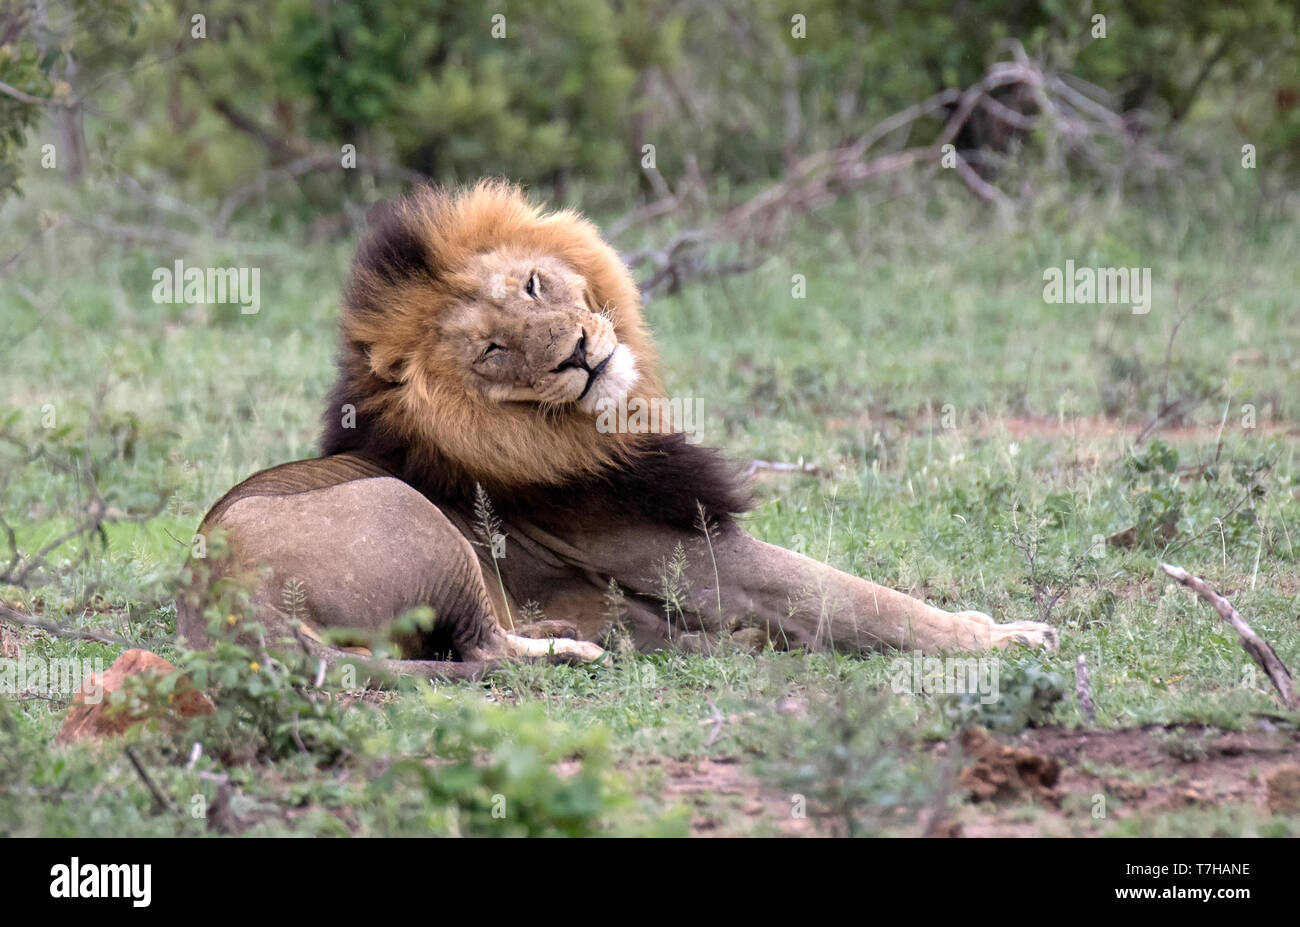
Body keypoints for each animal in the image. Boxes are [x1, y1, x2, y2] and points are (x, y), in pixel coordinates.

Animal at [177, 180, 1056, 680]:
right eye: (492, 350)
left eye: (534, 285)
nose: (577, 352)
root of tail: (215, 599)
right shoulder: (701, 557)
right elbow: (862, 598)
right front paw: (1004, 637)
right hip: (419, 522)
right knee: (485, 650)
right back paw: (582, 647)